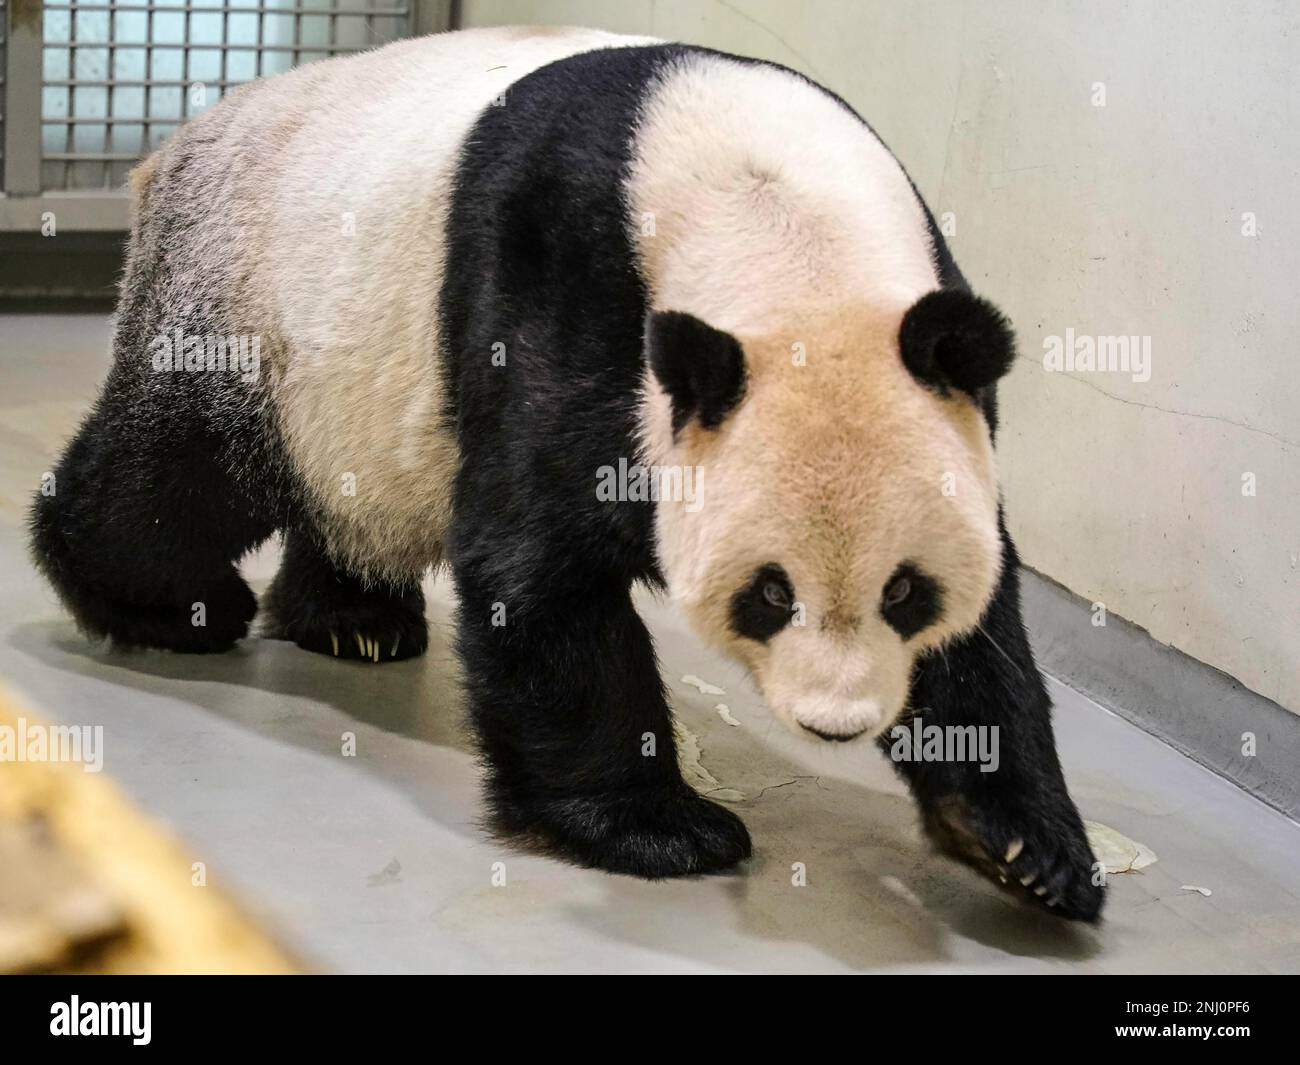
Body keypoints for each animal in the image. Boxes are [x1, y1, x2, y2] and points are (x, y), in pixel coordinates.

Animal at [30, 26, 1103, 920]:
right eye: (771, 593)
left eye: (906, 591)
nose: (835, 723)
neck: (779, 225)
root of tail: (173, 145)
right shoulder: (566, 286)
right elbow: (537, 566)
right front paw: (661, 828)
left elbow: (992, 618)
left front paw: (1024, 847)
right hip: (248, 299)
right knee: (180, 474)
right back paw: (169, 606)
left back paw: (355, 620)